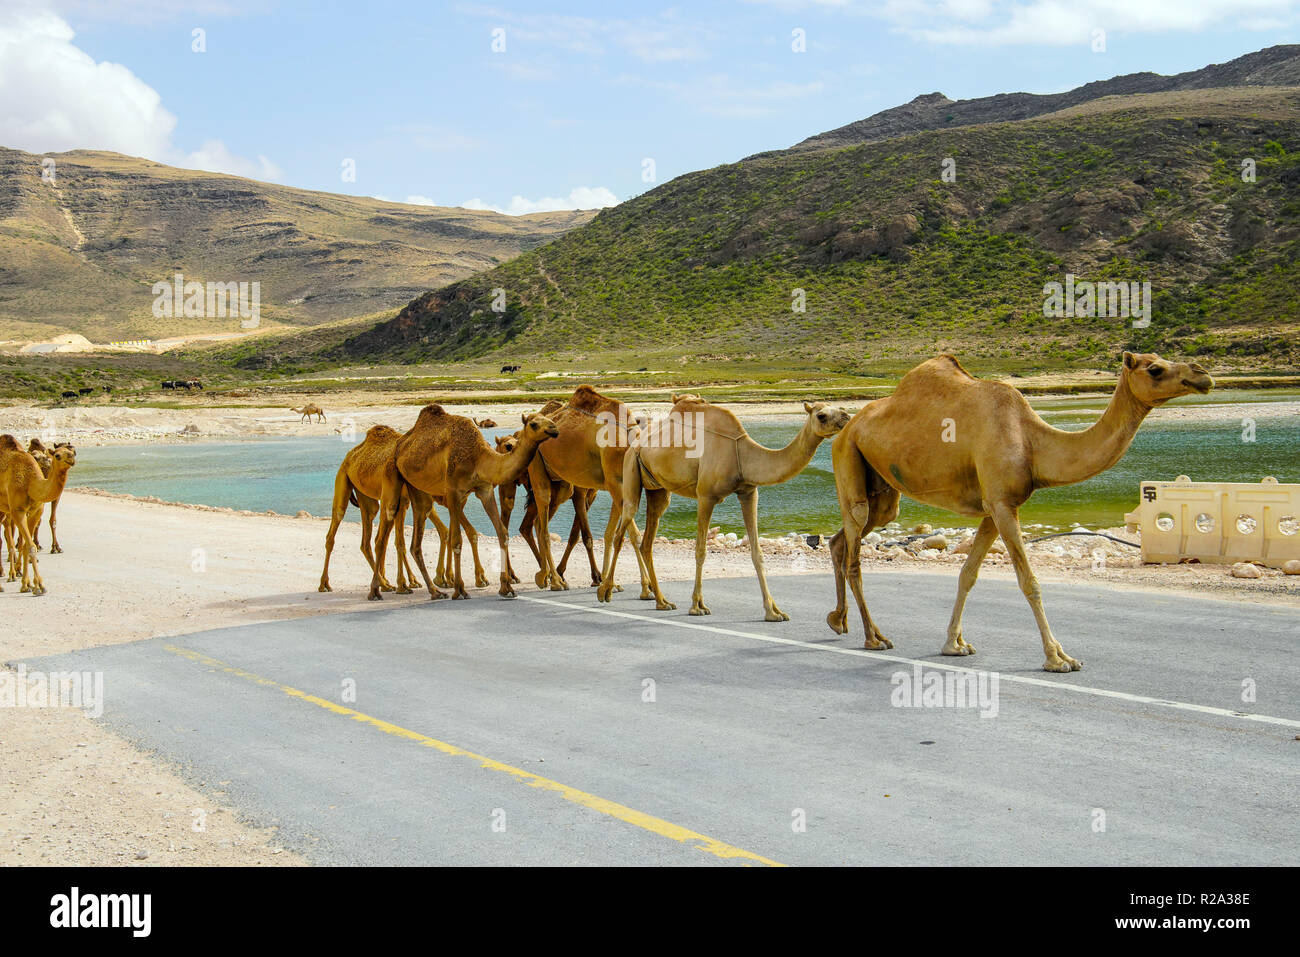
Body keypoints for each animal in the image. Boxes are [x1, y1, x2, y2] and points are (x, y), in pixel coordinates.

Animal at [0, 435, 76, 595]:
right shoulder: (17, 510)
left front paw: (26, 585)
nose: (71, 459)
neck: (30, 483)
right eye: (57, 455)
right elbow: (30, 546)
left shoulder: (36, 510)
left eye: (73, 452)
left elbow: (25, 546)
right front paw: (40, 585)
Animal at [369, 407, 558, 601]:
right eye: (533, 424)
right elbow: (457, 540)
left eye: (548, 419)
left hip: (418, 490)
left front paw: (506, 587)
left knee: (416, 540)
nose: (554, 429)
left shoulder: (484, 490)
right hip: (392, 474)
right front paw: (459, 589)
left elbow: (502, 532)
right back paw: (377, 590)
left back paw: (435, 591)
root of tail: (399, 445)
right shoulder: (453, 492)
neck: (478, 457)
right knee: (382, 535)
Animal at [606, 397, 851, 621]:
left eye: (838, 408)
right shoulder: (706, 496)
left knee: (647, 542)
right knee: (621, 530)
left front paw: (774, 611)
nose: (847, 417)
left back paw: (662, 601)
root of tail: (636, 443)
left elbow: (757, 553)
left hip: (658, 490)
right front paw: (697, 606)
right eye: (821, 415)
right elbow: (701, 550)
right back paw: (606, 591)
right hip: (630, 469)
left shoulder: (749, 492)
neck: (741, 454)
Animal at [826, 352, 1213, 672]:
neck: (1031, 443)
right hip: (848, 457)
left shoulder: (993, 508)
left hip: (883, 493)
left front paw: (955, 644)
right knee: (855, 548)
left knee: (842, 539)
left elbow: (968, 574)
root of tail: (847, 426)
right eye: (1155, 369)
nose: (1202, 374)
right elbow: (1030, 581)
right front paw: (1057, 658)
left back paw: (838, 620)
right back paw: (874, 637)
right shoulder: (1002, 503)